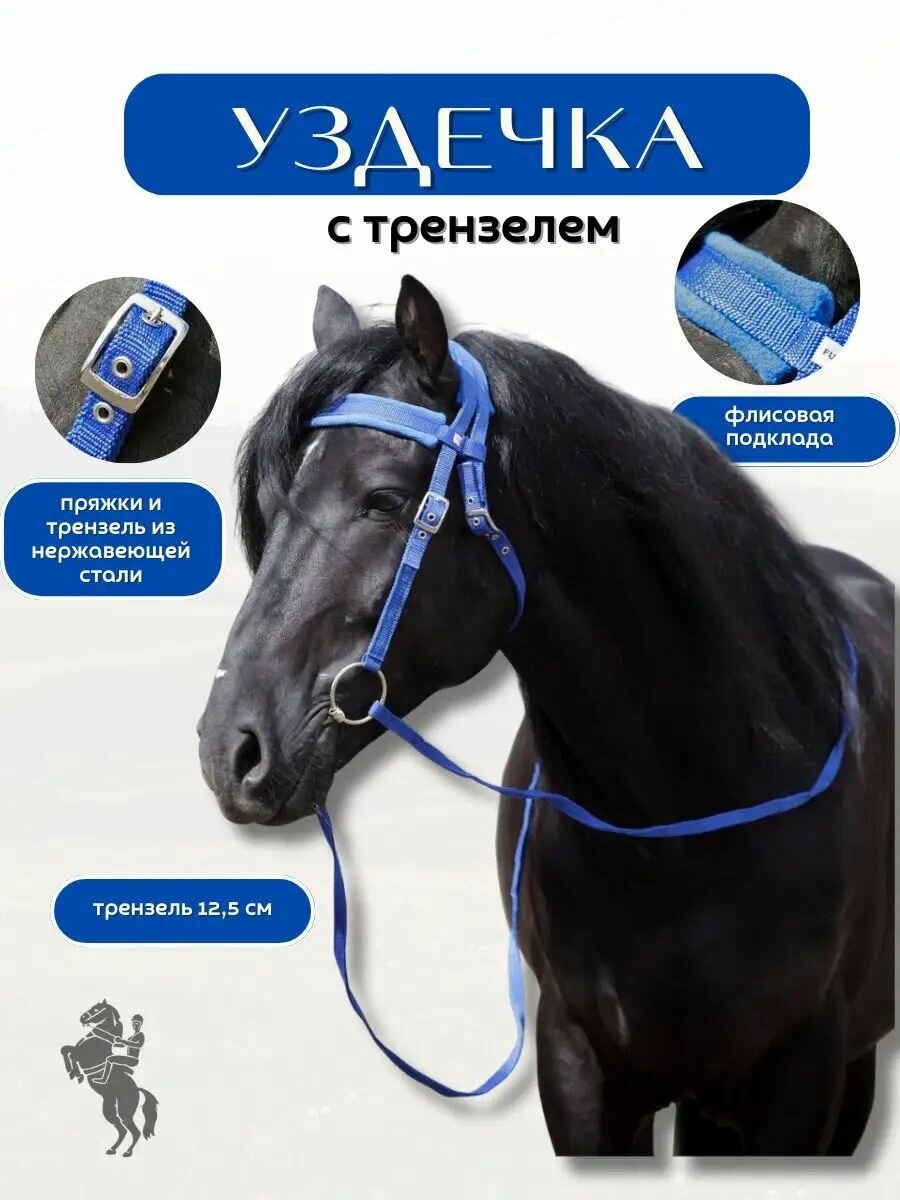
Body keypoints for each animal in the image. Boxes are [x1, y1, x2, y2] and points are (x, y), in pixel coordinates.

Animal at [61, 1000, 159, 1157]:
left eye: (96, 1009)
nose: (82, 1018)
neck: (99, 1038)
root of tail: (137, 1090)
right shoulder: (76, 1051)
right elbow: (65, 1049)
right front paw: (75, 1074)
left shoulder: (80, 1054)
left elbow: (69, 1052)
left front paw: (76, 1074)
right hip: (109, 1109)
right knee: (122, 1130)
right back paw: (112, 1149)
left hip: (125, 1112)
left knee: (135, 1132)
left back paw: (127, 1152)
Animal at [198, 275, 893, 1155]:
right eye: (269, 508)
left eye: (382, 500)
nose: (231, 749)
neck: (685, 828)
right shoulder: (579, 1067)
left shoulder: (799, 1077)